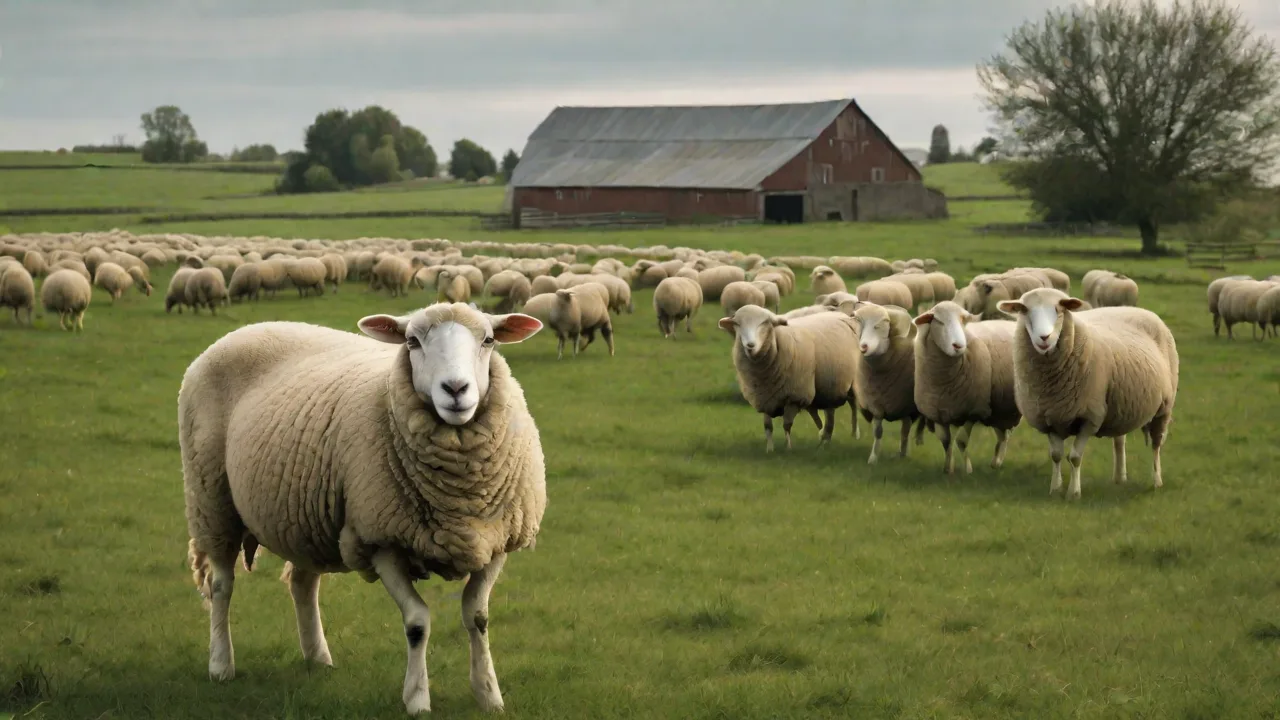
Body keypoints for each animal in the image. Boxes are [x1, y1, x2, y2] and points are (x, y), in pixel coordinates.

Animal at [179, 303, 546, 715]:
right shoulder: (380, 539)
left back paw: (318, 658)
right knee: (221, 585)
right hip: (211, 499)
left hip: (303, 517)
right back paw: (221, 664)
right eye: (411, 341)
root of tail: (248, 328)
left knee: (302, 584)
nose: (455, 389)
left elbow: (478, 617)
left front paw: (489, 695)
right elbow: (417, 622)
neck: (459, 494)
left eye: (489, 340)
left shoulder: (495, 540)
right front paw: (417, 698)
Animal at [717, 304, 860, 451]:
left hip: (854, 383)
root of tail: (839, 314)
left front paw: (788, 448)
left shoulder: (794, 397)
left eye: (765, 323)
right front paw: (770, 449)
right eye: (738, 324)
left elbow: (787, 425)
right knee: (830, 412)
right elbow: (768, 426)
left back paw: (854, 434)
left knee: (853, 406)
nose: (750, 345)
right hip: (829, 385)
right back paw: (825, 440)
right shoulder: (764, 397)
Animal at [852, 303, 927, 464]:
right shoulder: (875, 403)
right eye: (860, 322)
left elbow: (905, 431)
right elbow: (878, 431)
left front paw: (903, 453)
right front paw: (873, 458)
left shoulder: (907, 406)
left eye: (880, 325)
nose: (864, 346)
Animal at [912, 302, 1021, 474]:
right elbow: (946, 442)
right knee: (1002, 435)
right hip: (1000, 407)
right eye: (939, 321)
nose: (958, 345)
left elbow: (961, 441)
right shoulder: (937, 413)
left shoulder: (973, 410)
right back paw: (995, 462)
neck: (943, 384)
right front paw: (948, 468)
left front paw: (967, 470)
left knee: (1005, 436)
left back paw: (997, 461)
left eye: (963, 320)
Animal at [997, 288, 1179, 500]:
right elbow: (1056, 456)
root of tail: (1138, 310)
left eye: (1060, 310)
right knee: (1119, 441)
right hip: (1121, 406)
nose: (1044, 337)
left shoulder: (1090, 417)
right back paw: (1119, 478)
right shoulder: (1048, 417)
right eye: (1024, 310)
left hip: (1164, 405)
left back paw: (1157, 481)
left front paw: (1074, 493)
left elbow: (1075, 457)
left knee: (1156, 444)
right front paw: (1055, 488)